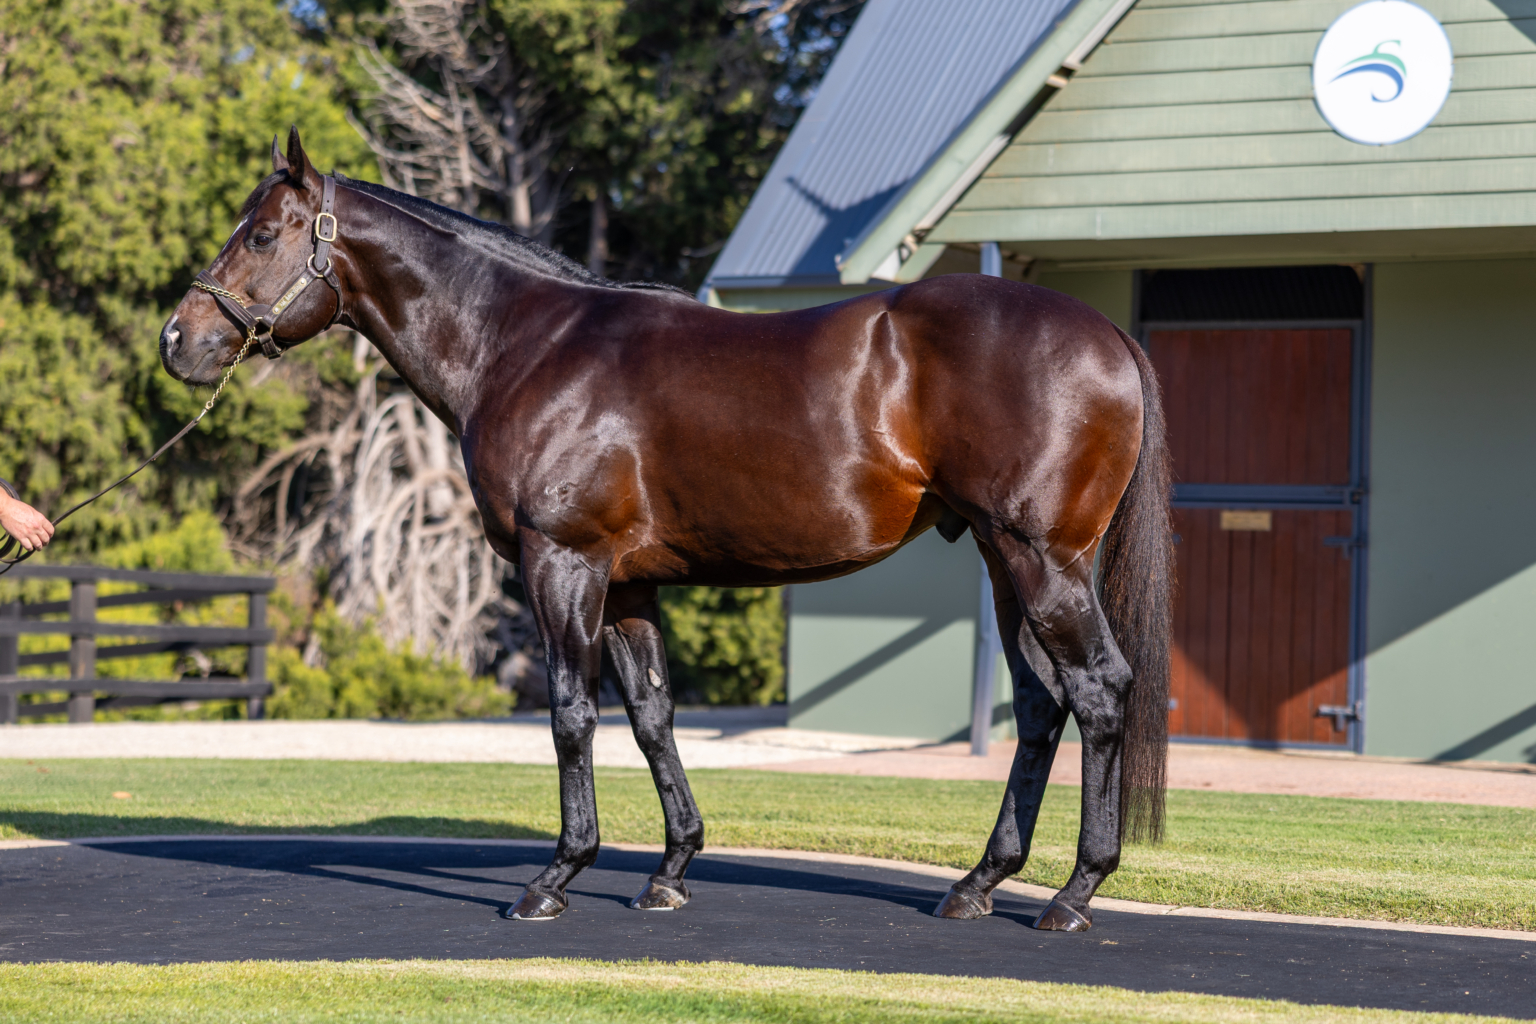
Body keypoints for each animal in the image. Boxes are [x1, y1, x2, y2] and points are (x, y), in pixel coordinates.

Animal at [160, 128, 1173, 932]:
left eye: (262, 233)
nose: (178, 341)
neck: (526, 345)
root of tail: (1112, 337)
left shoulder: (561, 563)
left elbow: (572, 715)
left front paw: (556, 877)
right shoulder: (629, 583)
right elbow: (651, 716)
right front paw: (672, 870)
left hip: (1043, 563)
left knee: (1100, 693)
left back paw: (1074, 894)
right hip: (1006, 567)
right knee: (1041, 707)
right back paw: (978, 883)